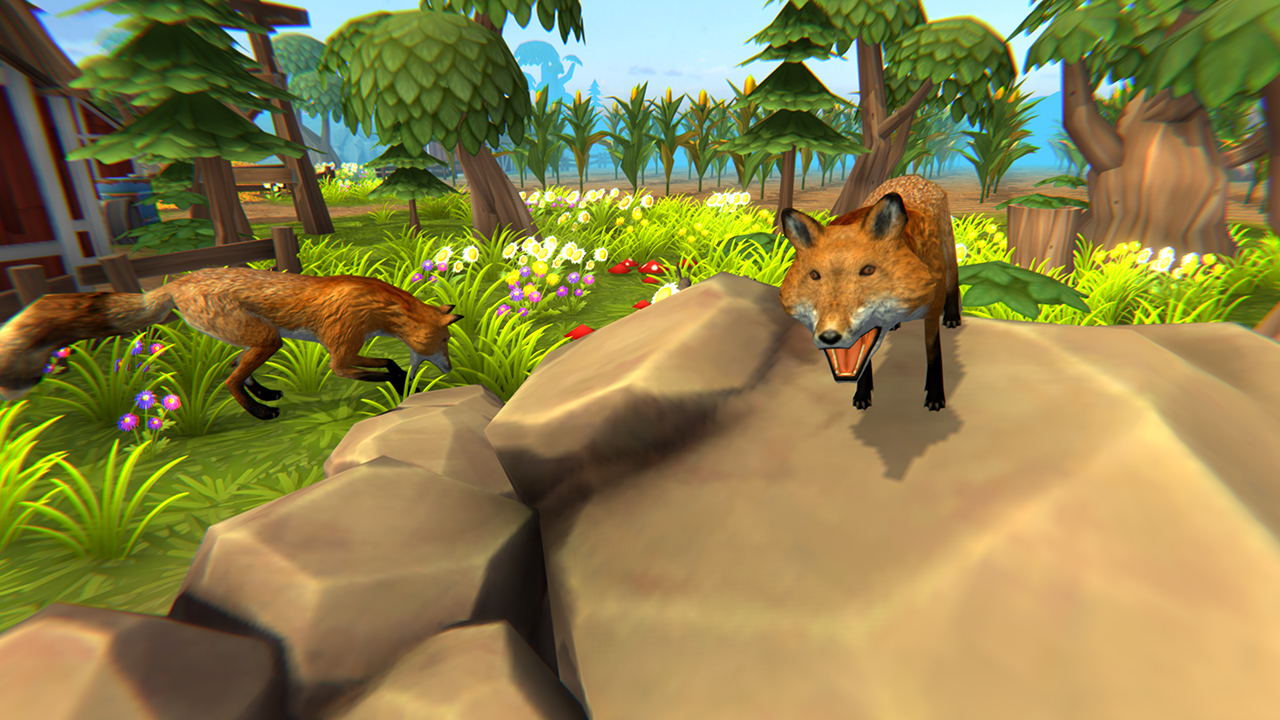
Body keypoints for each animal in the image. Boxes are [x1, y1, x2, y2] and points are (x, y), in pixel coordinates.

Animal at [0, 267, 463, 420]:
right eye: (444, 341)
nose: (453, 368)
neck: (372, 303)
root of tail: (179, 282)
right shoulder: (341, 351)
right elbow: (382, 365)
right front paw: (400, 382)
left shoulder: (347, 348)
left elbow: (384, 362)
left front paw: (403, 383)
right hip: (267, 338)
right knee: (228, 381)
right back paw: (260, 412)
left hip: (255, 339)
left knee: (233, 371)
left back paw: (264, 393)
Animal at [777, 175, 961, 411]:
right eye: (815, 275)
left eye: (867, 271)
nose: (830, 336)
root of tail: (913, 176)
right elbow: (864, 364)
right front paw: (862, 394)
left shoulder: (931, 311)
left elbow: (933, 355)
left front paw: (936, 396)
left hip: (949, 261)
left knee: (954, 286)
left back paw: (952, 317)